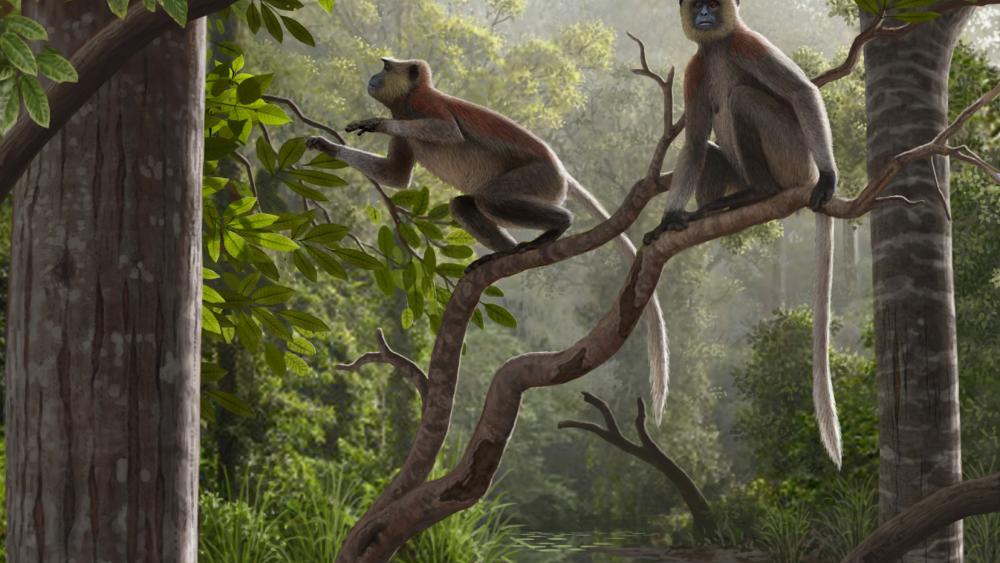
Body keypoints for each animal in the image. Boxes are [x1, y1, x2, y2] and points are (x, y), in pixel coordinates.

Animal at [305, 58, 672, 422]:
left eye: (385, 66)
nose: (374, 75)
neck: (407, 102)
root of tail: (561, 173)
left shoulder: (427, 104)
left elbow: (448, 132)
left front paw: (378, 123)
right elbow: (393, 176)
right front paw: (326, 145)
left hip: (539, 179)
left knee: (491, 199)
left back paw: (558, 226)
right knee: (465, 204)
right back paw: (504, 252)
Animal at [642, 0, 841, 467]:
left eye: (712, 6)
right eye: (697, 6)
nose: (704, 17)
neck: (718, 48)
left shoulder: (747, 44)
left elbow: (802, 93)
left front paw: (832, 176)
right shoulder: (697, 68)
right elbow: (695, 141)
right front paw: (668, 218)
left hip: (791, 155)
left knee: (742, 99)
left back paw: (764, 191)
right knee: (712, 149)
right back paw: (721, 204)